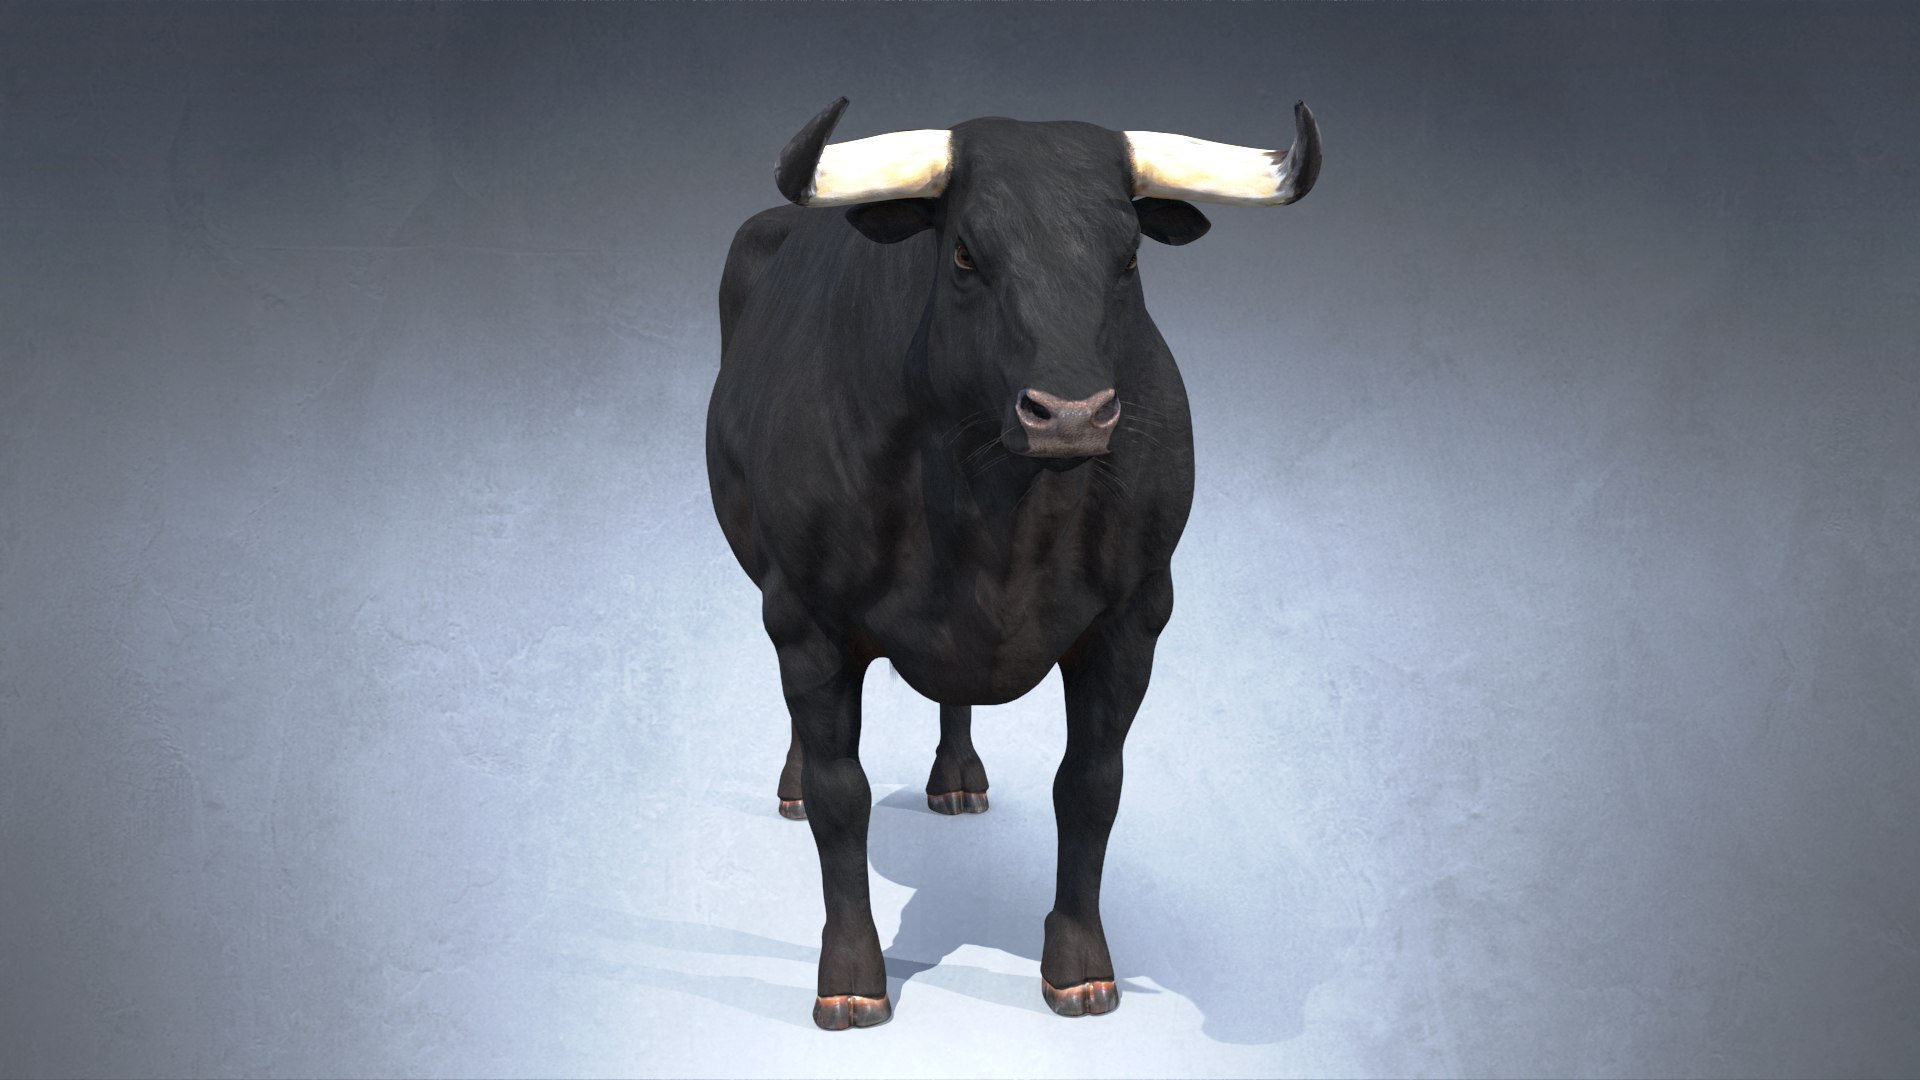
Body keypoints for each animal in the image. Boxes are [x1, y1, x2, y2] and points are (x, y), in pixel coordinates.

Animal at [705, 96, 1321, 1029]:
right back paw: (797, 785)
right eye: (965, 253)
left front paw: (1080, 967)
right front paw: (850, 978)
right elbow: (845, 797)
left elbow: (1092, 783)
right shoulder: (805, 617)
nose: (1069, 414)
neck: (998, 516)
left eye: (1127, 257)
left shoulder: (1135, 616)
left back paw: (957, 780)